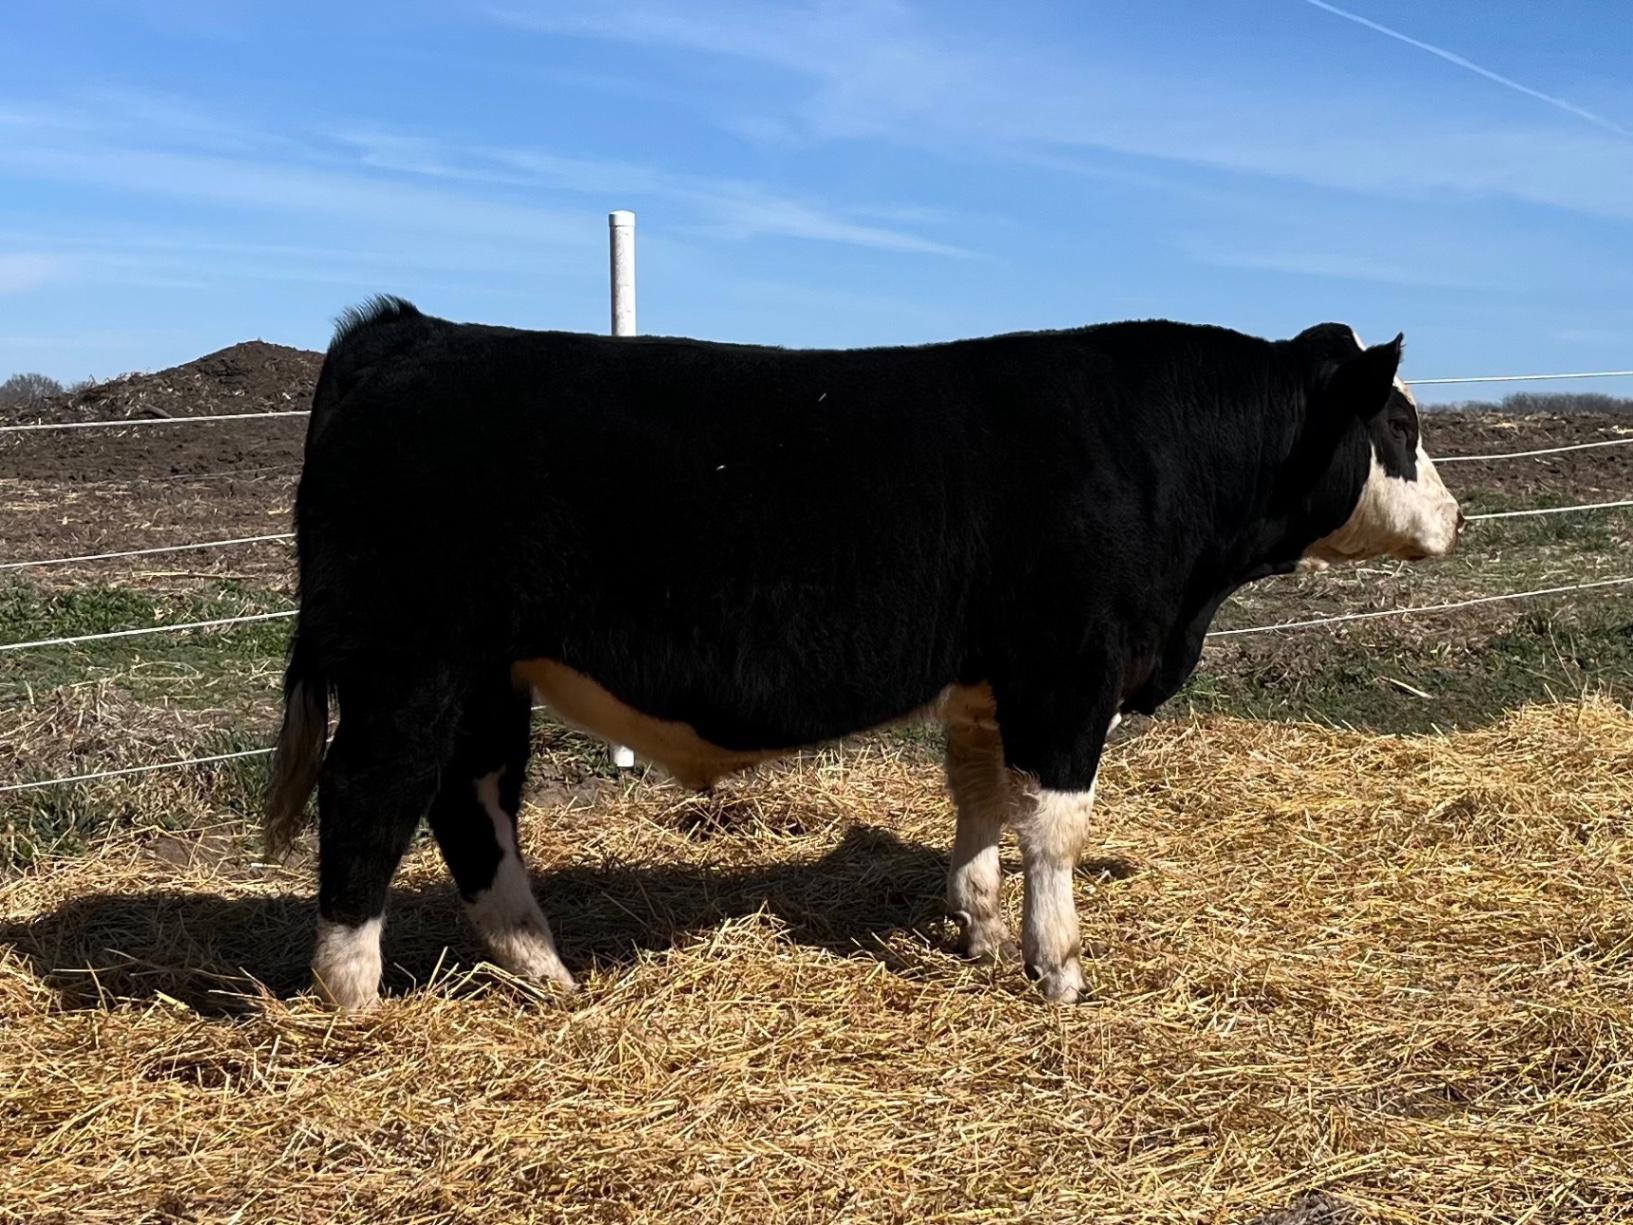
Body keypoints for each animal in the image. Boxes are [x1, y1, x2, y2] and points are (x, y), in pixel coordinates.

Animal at [266, 298, 1461, 1011]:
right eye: (1399, 427)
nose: (1454, 515)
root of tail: (416, 330)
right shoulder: (1067, 669)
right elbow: (1055, 824)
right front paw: (1058, 968)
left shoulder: (982, 683)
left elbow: (979, 803)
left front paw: (977, 927)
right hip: (410, 664)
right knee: (371, 797)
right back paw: (354, 996)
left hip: (484, 678)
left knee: (474, 806)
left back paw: (546, 972)